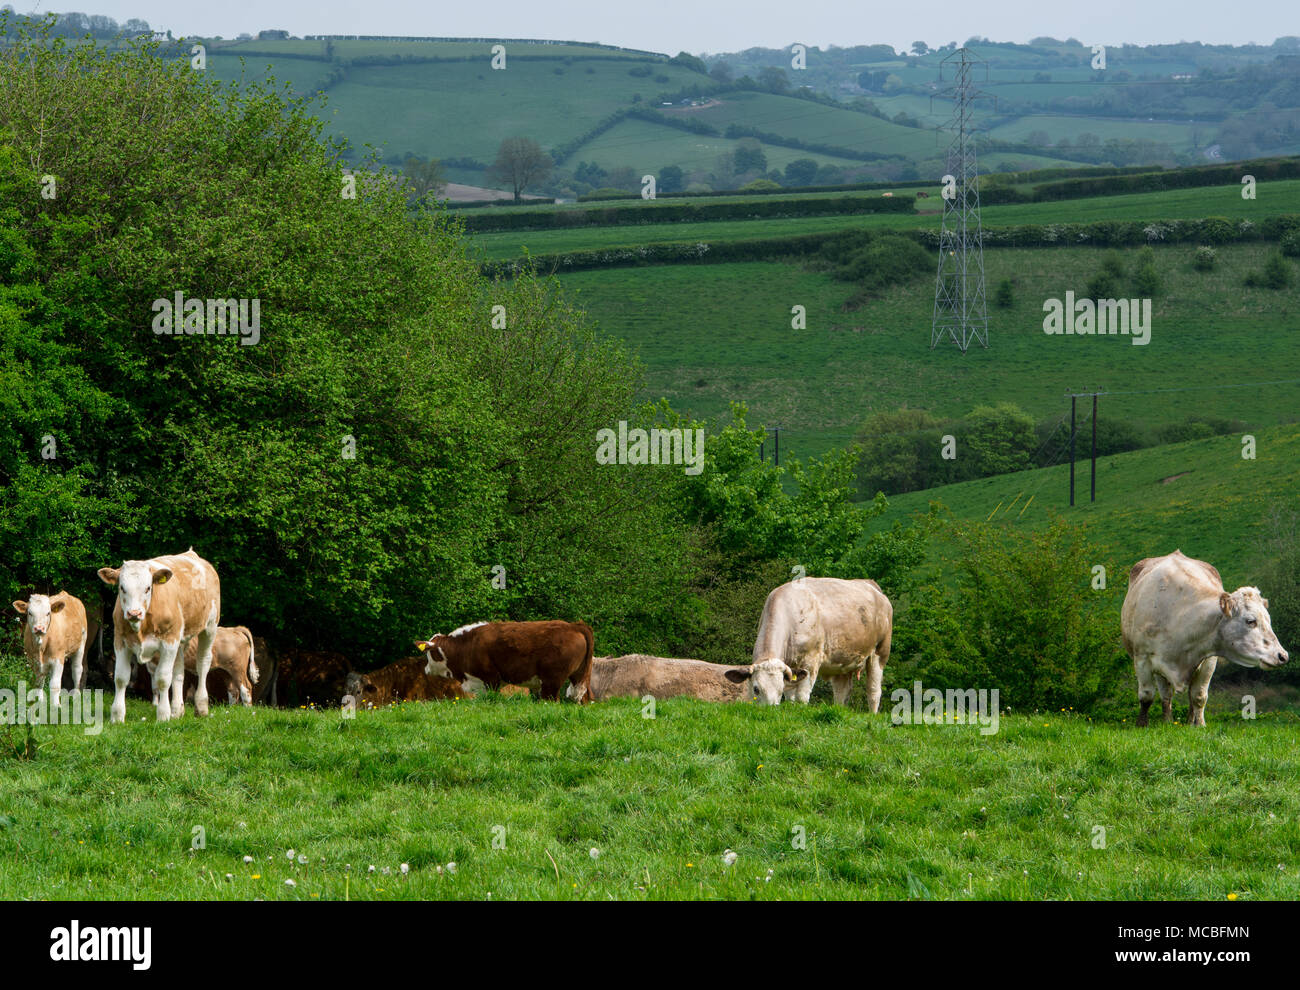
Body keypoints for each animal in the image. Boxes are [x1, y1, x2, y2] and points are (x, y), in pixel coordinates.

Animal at [98, 548, 221, 723]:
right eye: (122, 587)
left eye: (148, 588)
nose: (134, 613)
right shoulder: (120, 641)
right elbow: (121, 678)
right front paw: (117, 716)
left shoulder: (169, 642)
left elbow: (163, 679)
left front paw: (163, 715)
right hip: (179, 637)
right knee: (178, 671)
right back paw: (177, 711)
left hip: (210, 626)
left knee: (203, 663)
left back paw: (201, 707)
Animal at [417, 620, 593, 703]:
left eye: (428, 654)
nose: (425, 669)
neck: (466, 644)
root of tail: (574, 626)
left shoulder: (489, 680)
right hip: (578, 677)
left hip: (551, 682)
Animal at [751, 577, 893, 708]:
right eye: (756, 689)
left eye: (779, 689)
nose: (769, 709)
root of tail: (870, 584)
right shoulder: (791, 667)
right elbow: (791, 696)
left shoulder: (811, 661)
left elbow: (801, 697)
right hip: (843, 661)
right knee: (842, 692)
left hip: (880, 653)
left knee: (873, 692)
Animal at [1121, 550, 1289, 727]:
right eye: (1251, 621)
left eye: (1268, 620)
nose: (1282, 656)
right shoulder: (1142, 658)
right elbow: (1147, 696)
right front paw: (1142, 724)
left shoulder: (1208, 660)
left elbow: (1199, 696)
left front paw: (1200, 725)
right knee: (1166, 694)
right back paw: (1167, 721)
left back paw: (1189, 722)